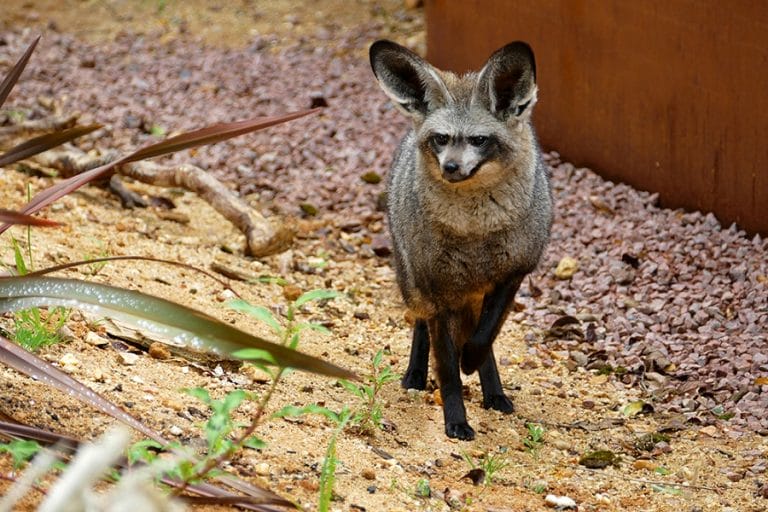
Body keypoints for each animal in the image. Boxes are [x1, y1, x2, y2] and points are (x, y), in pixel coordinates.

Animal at [369, 40, 552, 440]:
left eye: (478, 140)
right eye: (441, 139)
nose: (450, 168)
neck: (474, 231)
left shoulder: (513, 275)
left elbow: (484, 339)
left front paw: (475, 365)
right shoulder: (434, 287)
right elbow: (448, 367)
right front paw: (456, 419)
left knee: (481, 335)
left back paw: (493, 391)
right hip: (414, 284)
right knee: (421, 326)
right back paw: (415, 375)